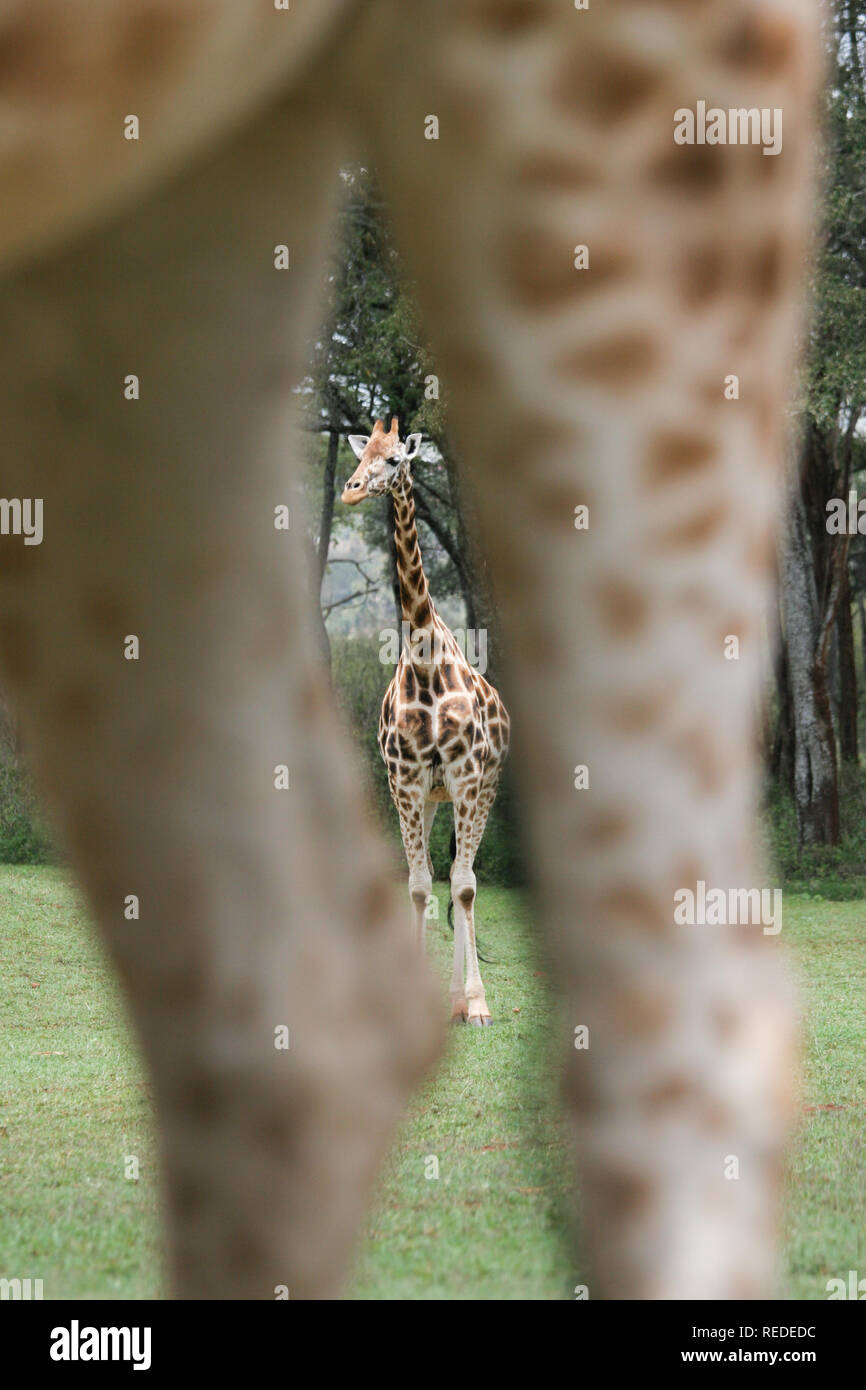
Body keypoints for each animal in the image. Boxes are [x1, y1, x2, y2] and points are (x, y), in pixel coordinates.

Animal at [341, 416, 510, 1025]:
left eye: (394, 459)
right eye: (361, 454)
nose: (351, 490)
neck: (422, 652)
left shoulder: (465, 777)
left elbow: (464, 886)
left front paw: (477, 1004)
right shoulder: (406, 781)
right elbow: (417, 885)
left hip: (482, 790)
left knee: (466, 877)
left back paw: (464, 1002)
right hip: (433, 798)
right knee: (441, 876)